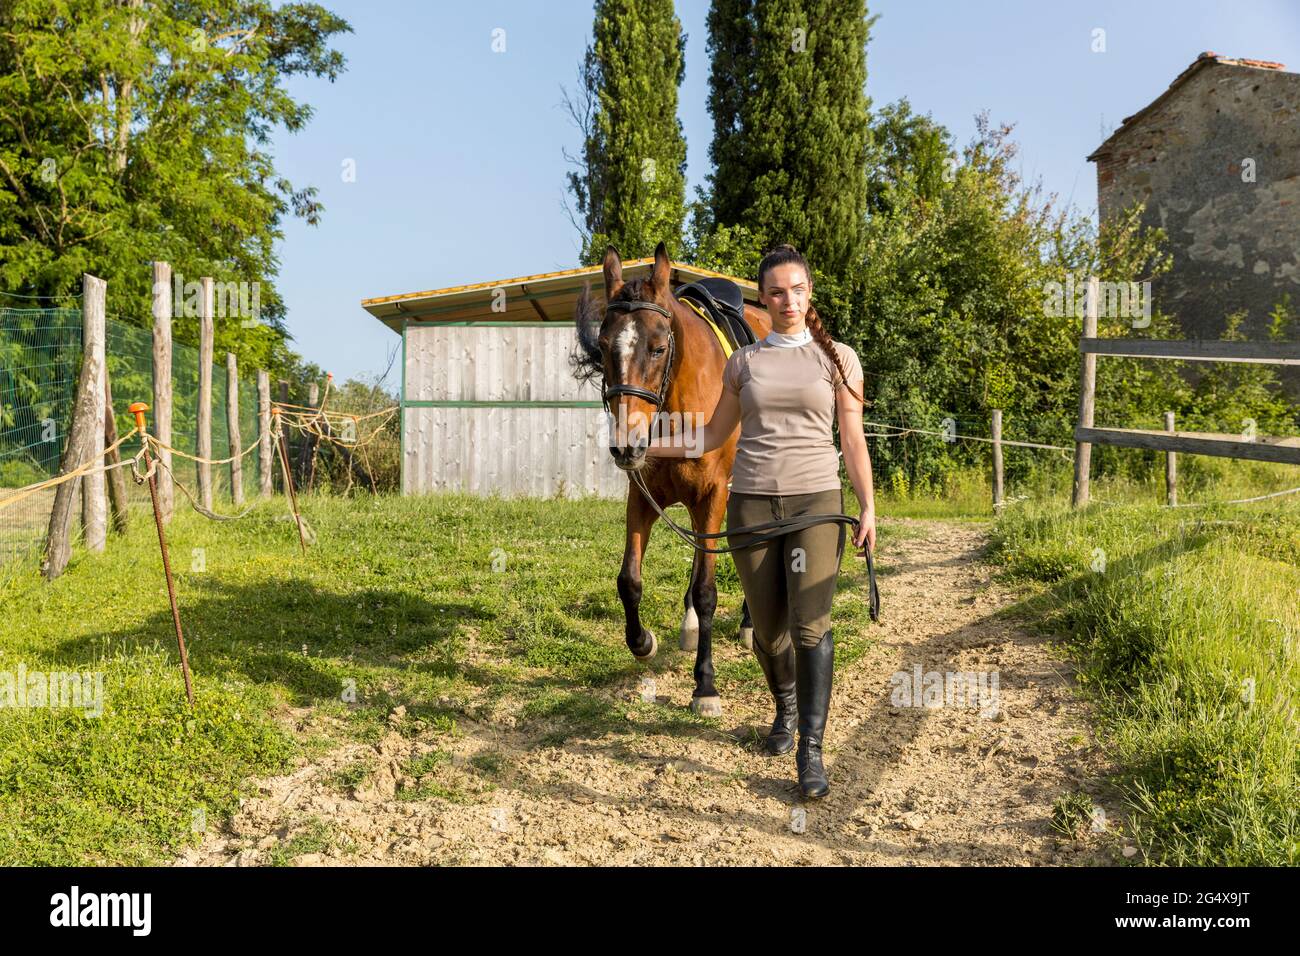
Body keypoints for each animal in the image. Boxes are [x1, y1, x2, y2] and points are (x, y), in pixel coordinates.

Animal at [571, 241, 772, 717]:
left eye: (660, 347)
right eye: (603, 345)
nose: (626, 446)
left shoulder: (712, 495)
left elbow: (707, 589)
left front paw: (706, 686)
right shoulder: (642, 496)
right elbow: (629, 580)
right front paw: (642, 641)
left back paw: (748, 625)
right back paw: (691, 625)